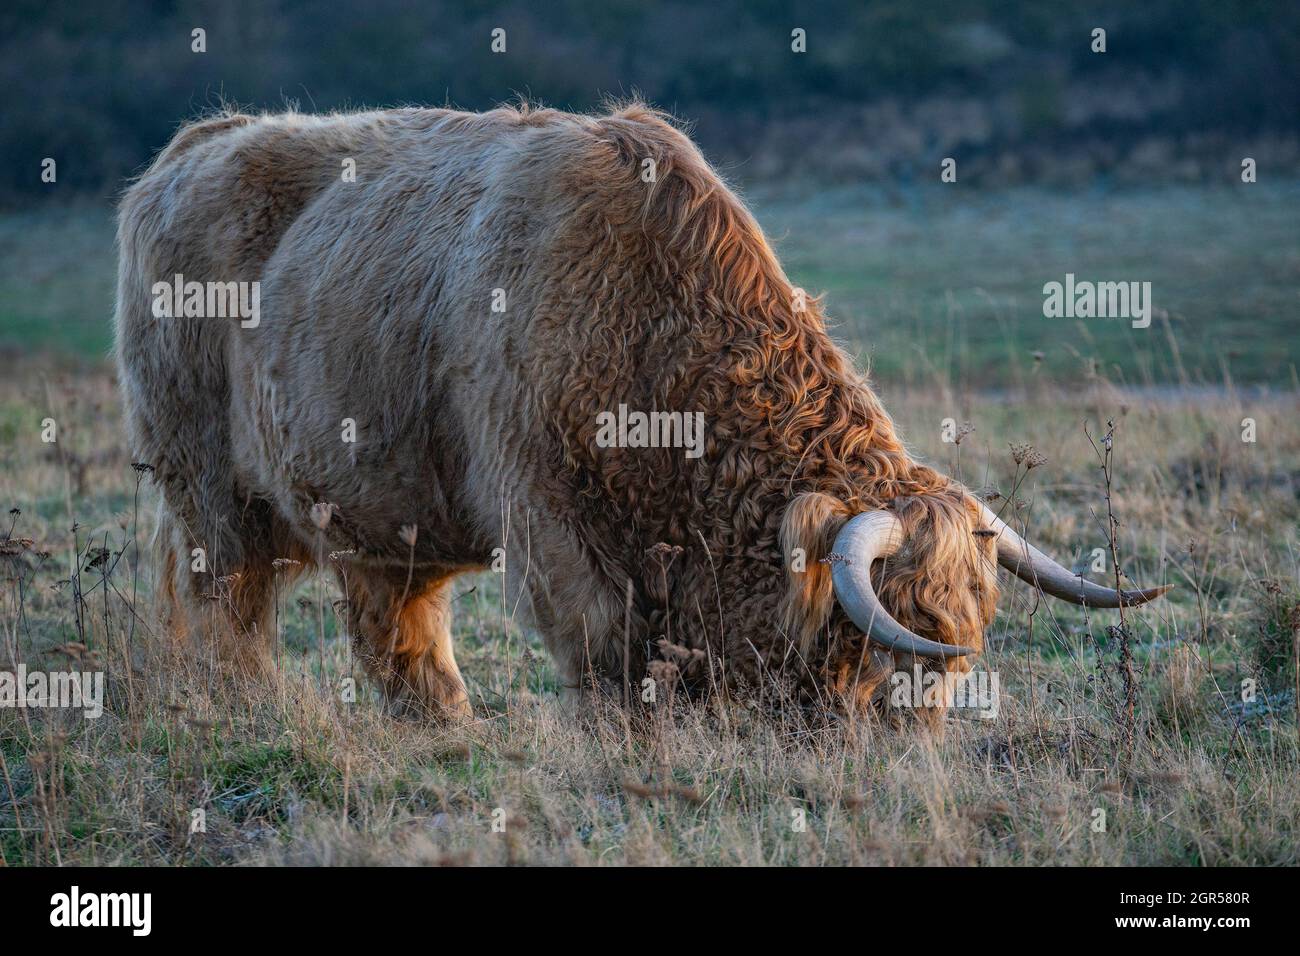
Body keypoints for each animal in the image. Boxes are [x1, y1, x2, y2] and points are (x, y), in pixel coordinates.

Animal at [114, 103, 1169, 723]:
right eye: (885, 638)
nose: (911, 734)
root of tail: (195, 144)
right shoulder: (546, 519)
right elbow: (604, 648)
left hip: (376, 509)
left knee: (395, 623)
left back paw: (443, 724)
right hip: (207, 492)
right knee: (224, 604)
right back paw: (238, 706)